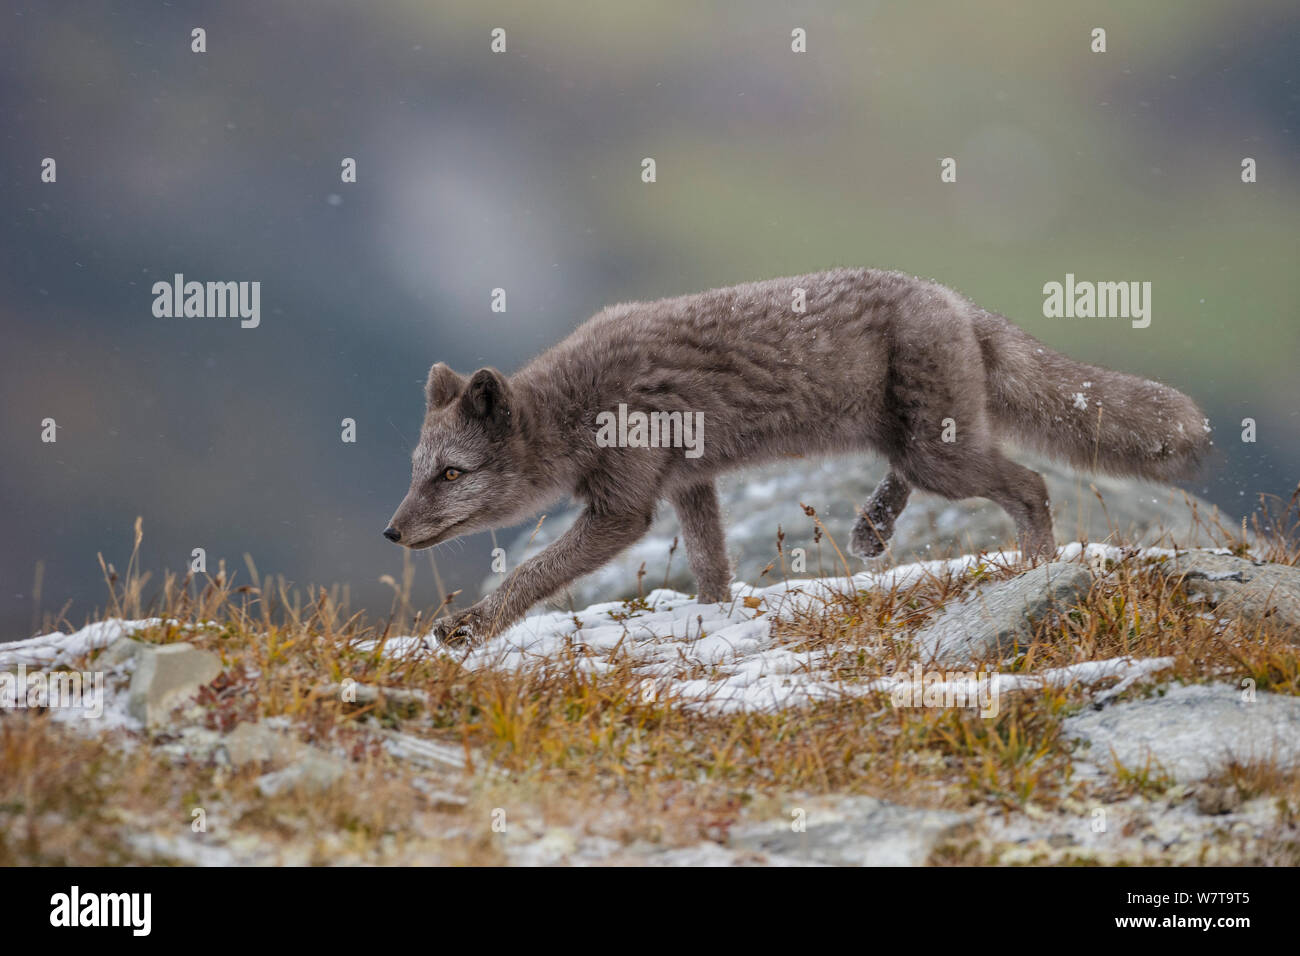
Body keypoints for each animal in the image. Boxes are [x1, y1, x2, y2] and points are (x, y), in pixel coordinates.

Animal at [384, 267, 1211, 646]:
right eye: (416, 471)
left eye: (452, 475)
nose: (392, 532)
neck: (576, 405)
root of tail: (958, 299)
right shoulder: (690, 486)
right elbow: (713, 567)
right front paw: (713, 617)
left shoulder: (623, 510)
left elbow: (532, 572)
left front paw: (471, 628)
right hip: (917, 440)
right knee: (921, 478)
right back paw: (873, 529)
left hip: (942, 455)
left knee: (1032, 483)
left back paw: (1036, 571)